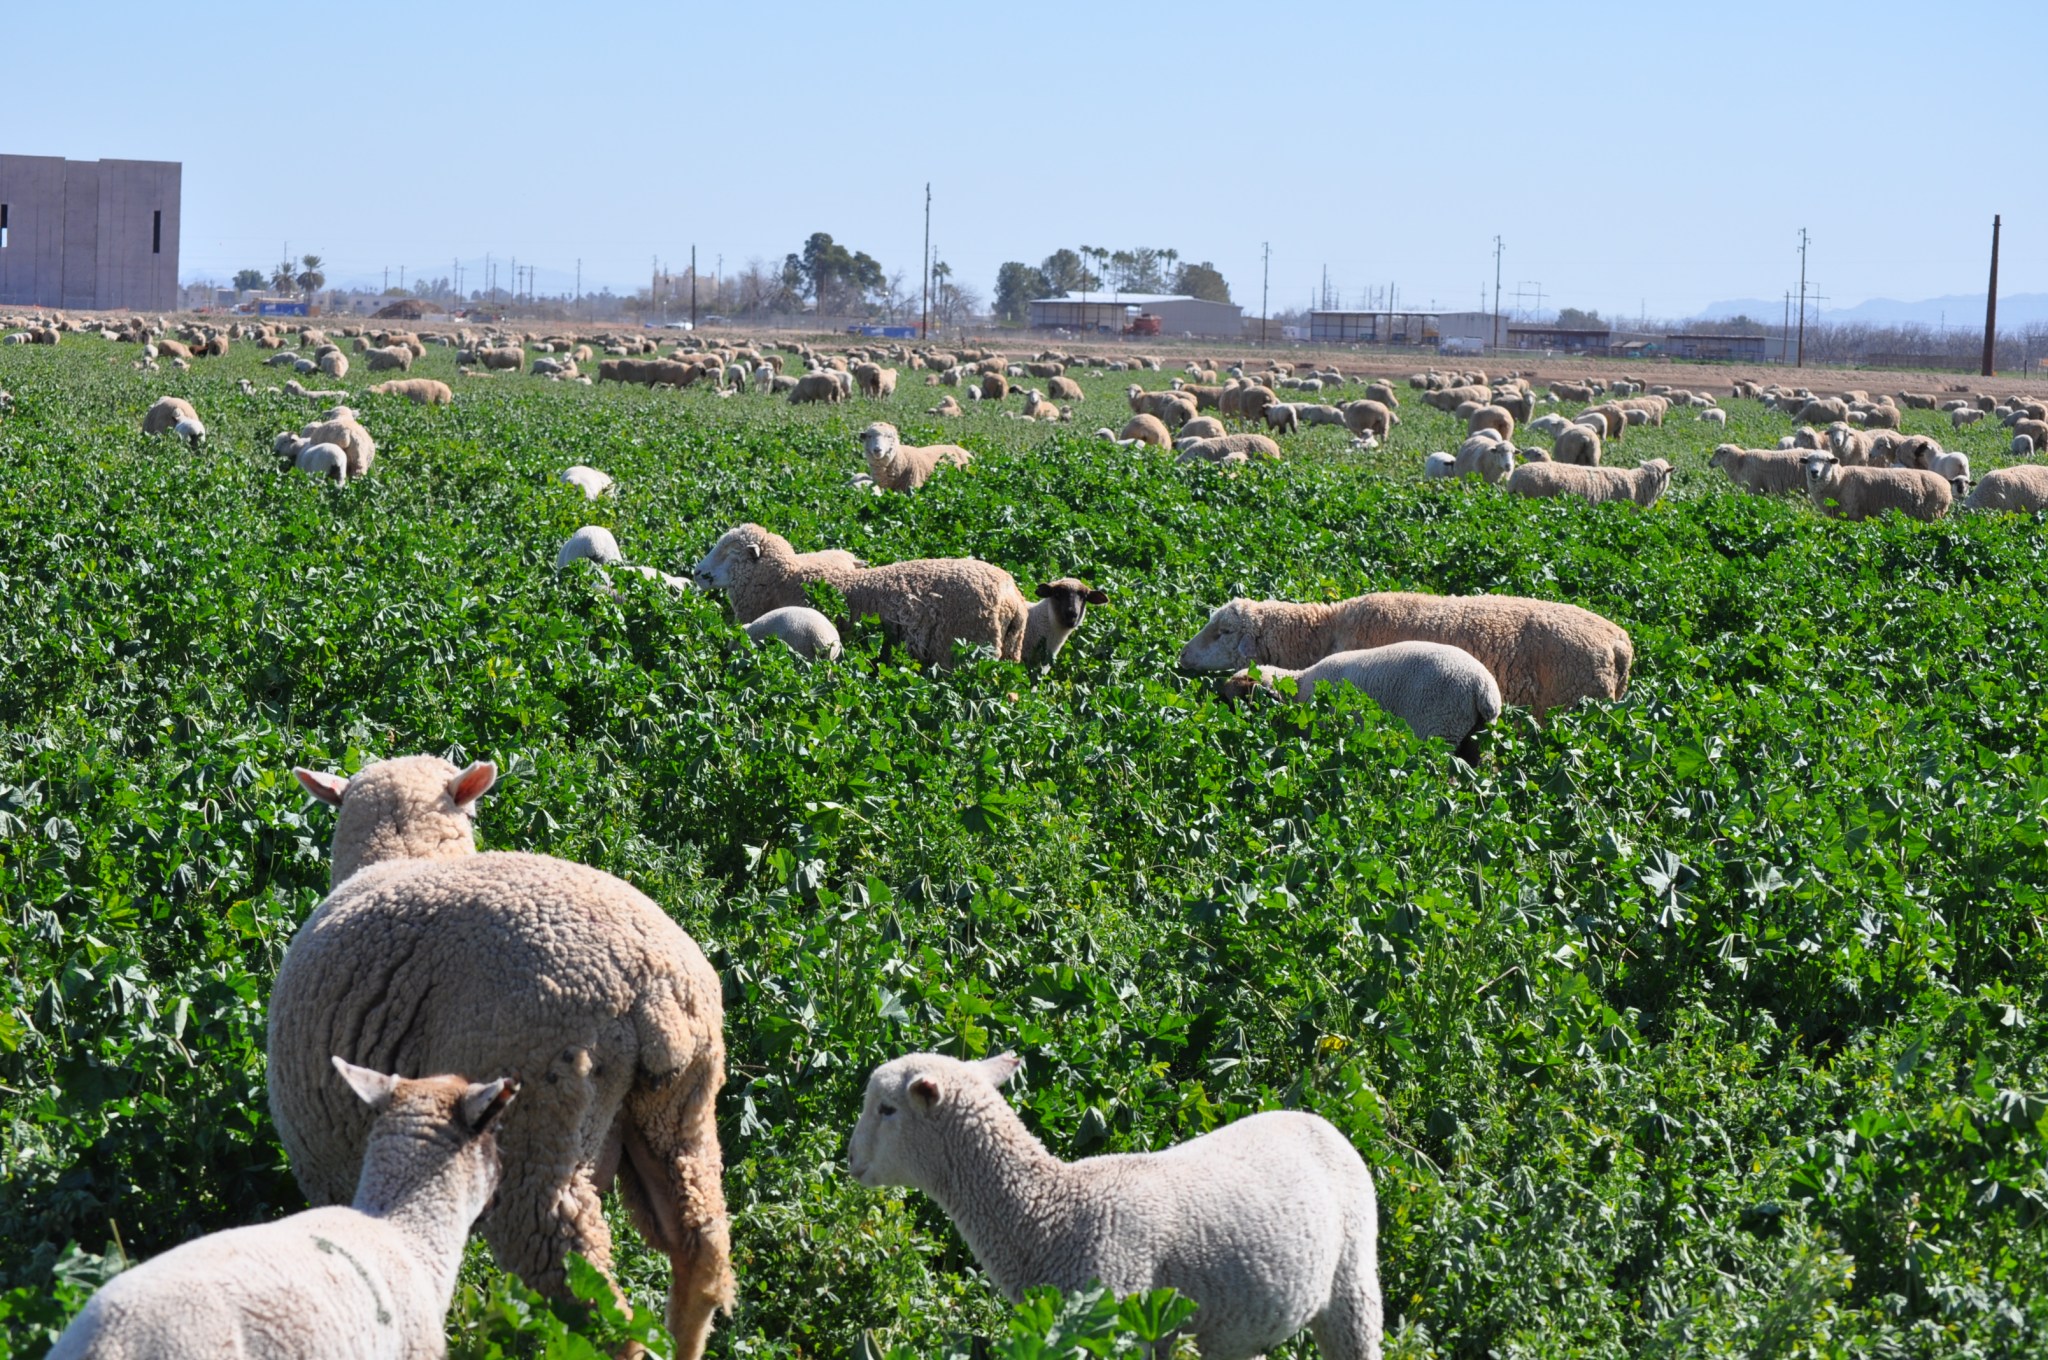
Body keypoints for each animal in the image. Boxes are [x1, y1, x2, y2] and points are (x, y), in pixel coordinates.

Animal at [271, 757, 734, 1356]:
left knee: (596, 1302)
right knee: (701, 1250)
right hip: (680, 1111)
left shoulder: (328, 1160)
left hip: (535, 1126)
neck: (403, 853)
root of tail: (649, 984)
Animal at [693, 524, 1023, 665]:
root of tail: (1013, 600)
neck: (782, 580)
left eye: (730, 552)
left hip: (963, 654)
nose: (696, 572)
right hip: (1010, 652)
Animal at [848, 1052, 1381, 1360]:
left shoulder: (1113, 1313)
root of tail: (1321, 1122)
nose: (851, 1160)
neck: (1051, 1212)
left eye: (886, 1109)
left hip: (1353, 1276)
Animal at [1802, 451, 1952, 522]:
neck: (1841, 481)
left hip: (1933, 514)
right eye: (1808, 461)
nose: (1814, 472)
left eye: (1826, 461)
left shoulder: (1855, 516)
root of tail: (1947, 485)